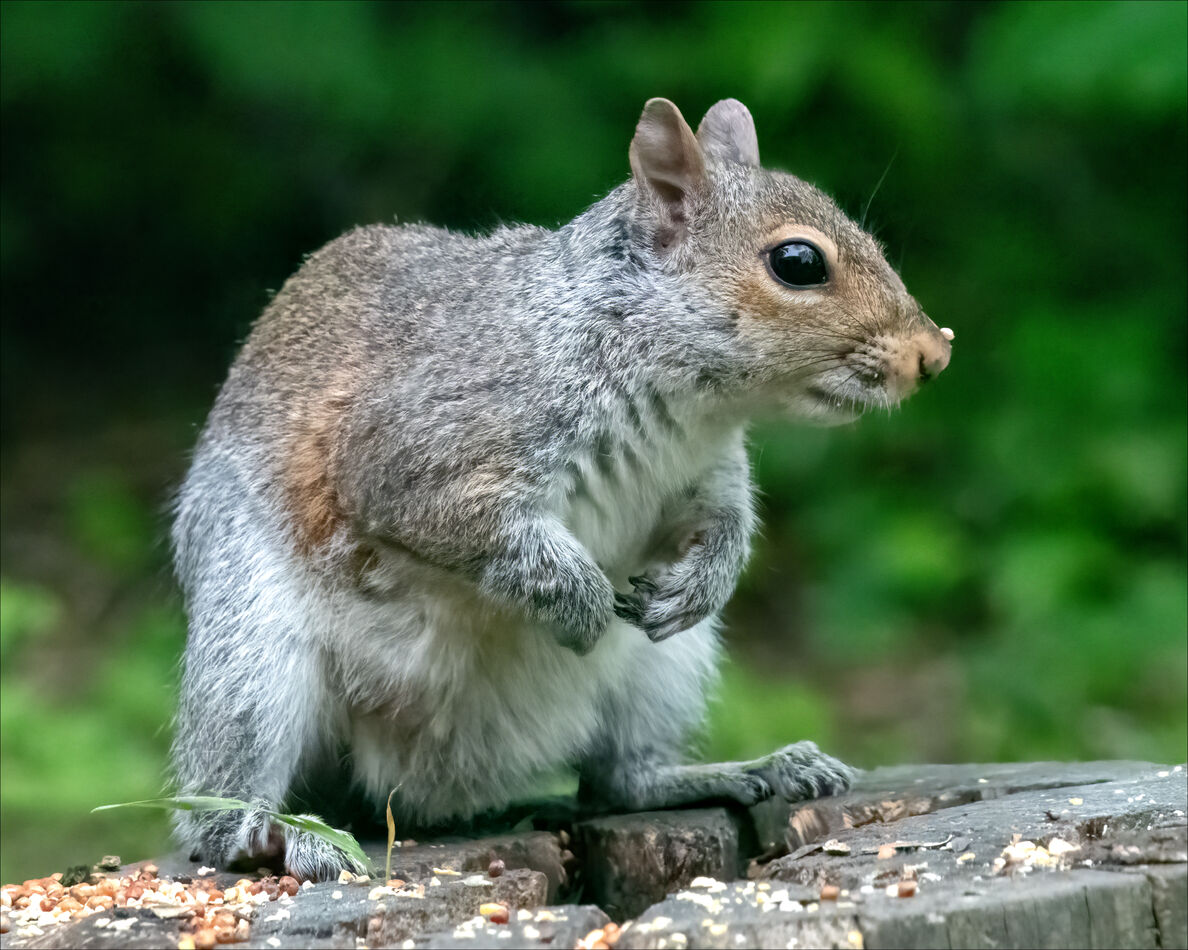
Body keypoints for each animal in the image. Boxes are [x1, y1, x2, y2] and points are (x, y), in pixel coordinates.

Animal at [170, 97, 951, 880]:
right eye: (797, 263)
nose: (934, 354)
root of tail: (411, 788)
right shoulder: (420, 448)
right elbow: (469, 528)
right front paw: (580, 601)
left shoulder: (707, 473)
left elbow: (724, 525)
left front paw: (703, 582)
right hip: (252, 652)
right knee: (213, 816)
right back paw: (278, 834)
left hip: (662, 672)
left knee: (619, 783)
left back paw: (748, 769)